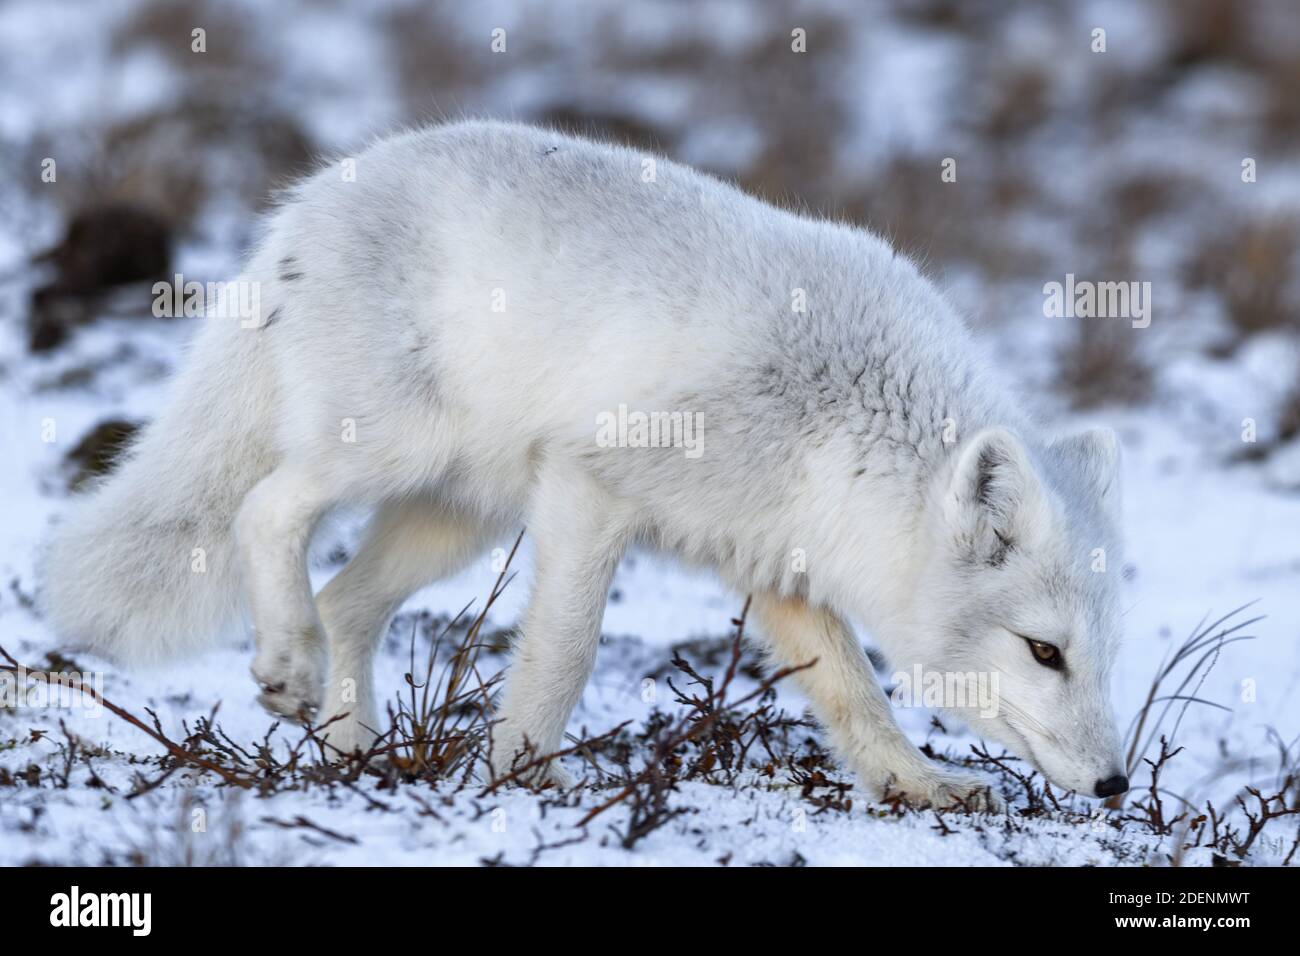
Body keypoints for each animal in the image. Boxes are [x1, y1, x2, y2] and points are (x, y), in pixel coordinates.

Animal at [42, 120, 1130, 809]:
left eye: (1100, 655)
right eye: (1044, 651)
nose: (1116, 783)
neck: (844, 429)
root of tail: (303, 204)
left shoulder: (771, 561)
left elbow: (855, 695)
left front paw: (918, 784)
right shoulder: (591, 488)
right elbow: (563, 653)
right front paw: (522, 775)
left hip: (457, 516)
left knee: (348, 601)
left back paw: (351, 758)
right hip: (391, 448)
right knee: (266, 512)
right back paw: (288, 668)